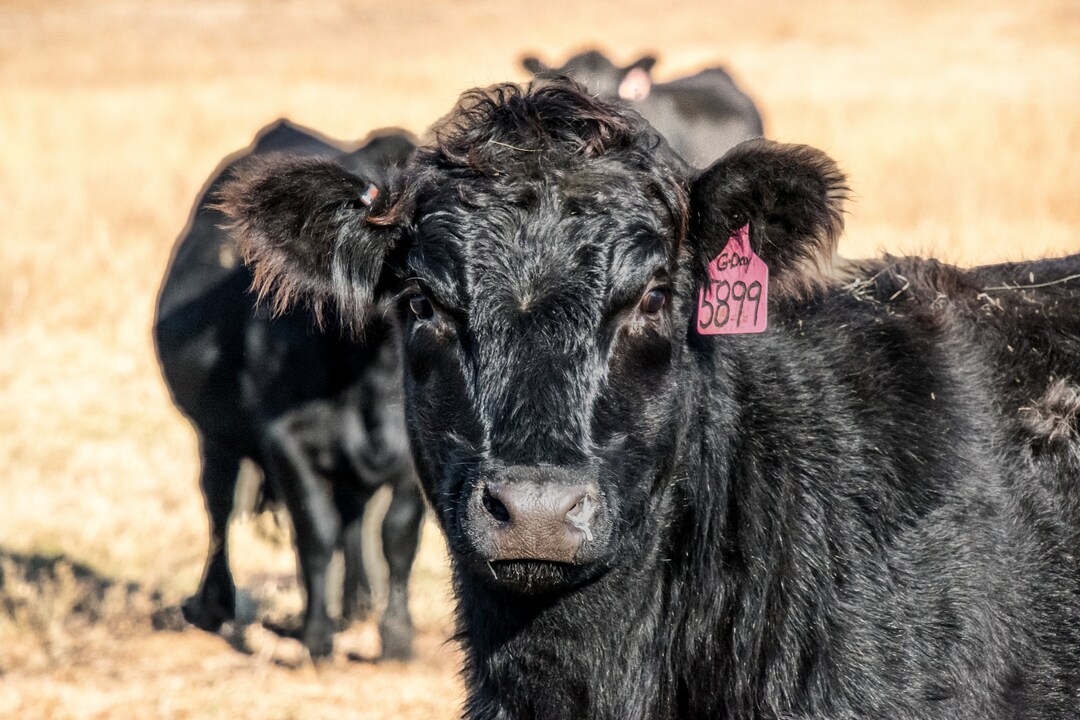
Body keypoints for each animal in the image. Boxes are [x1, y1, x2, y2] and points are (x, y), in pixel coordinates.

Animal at [153, 119, 424, 660]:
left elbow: (398, 534)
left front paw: (396, 637)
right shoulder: (286, 440)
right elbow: (315, 531)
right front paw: (316, 637)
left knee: (352, 513)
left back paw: (358, 603)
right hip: (215, 434)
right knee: (218, 505)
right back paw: (213, 605)